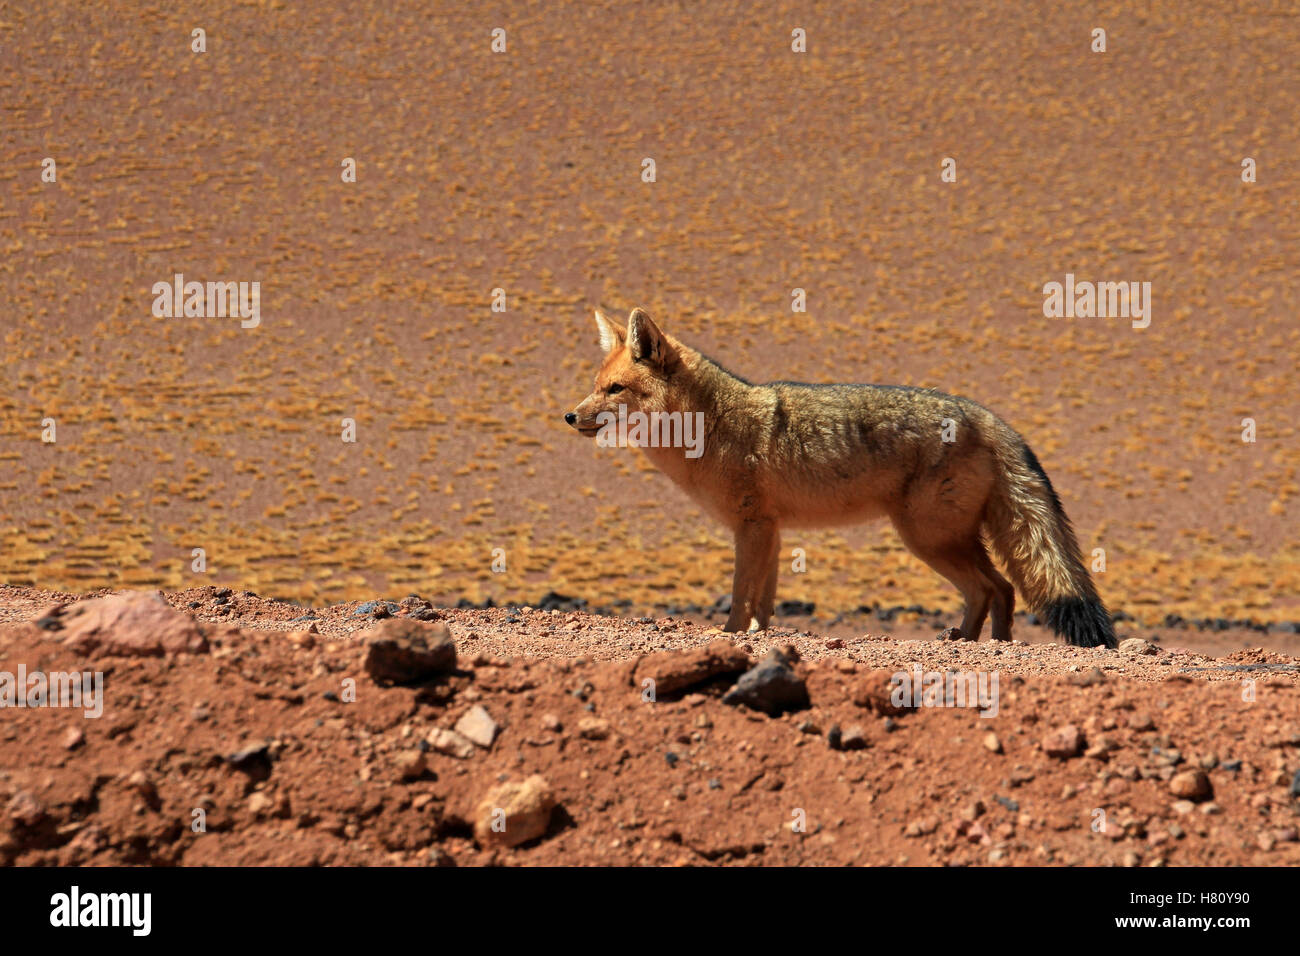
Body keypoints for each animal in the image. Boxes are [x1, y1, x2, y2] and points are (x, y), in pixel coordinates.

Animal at [565, 307, 1117, 649]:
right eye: (595, 386)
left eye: (615, 389)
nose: (570, 417)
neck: (712, 425)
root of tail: (990, 417)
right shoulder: (772, 531)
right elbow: (764, 603)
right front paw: (759, 637)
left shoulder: (753, 528)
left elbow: (741, 596)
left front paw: (729, 635)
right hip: (943, 540)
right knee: (997, 590)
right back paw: (980, 644)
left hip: (928, 539)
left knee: (996, 588)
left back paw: (987, 645)